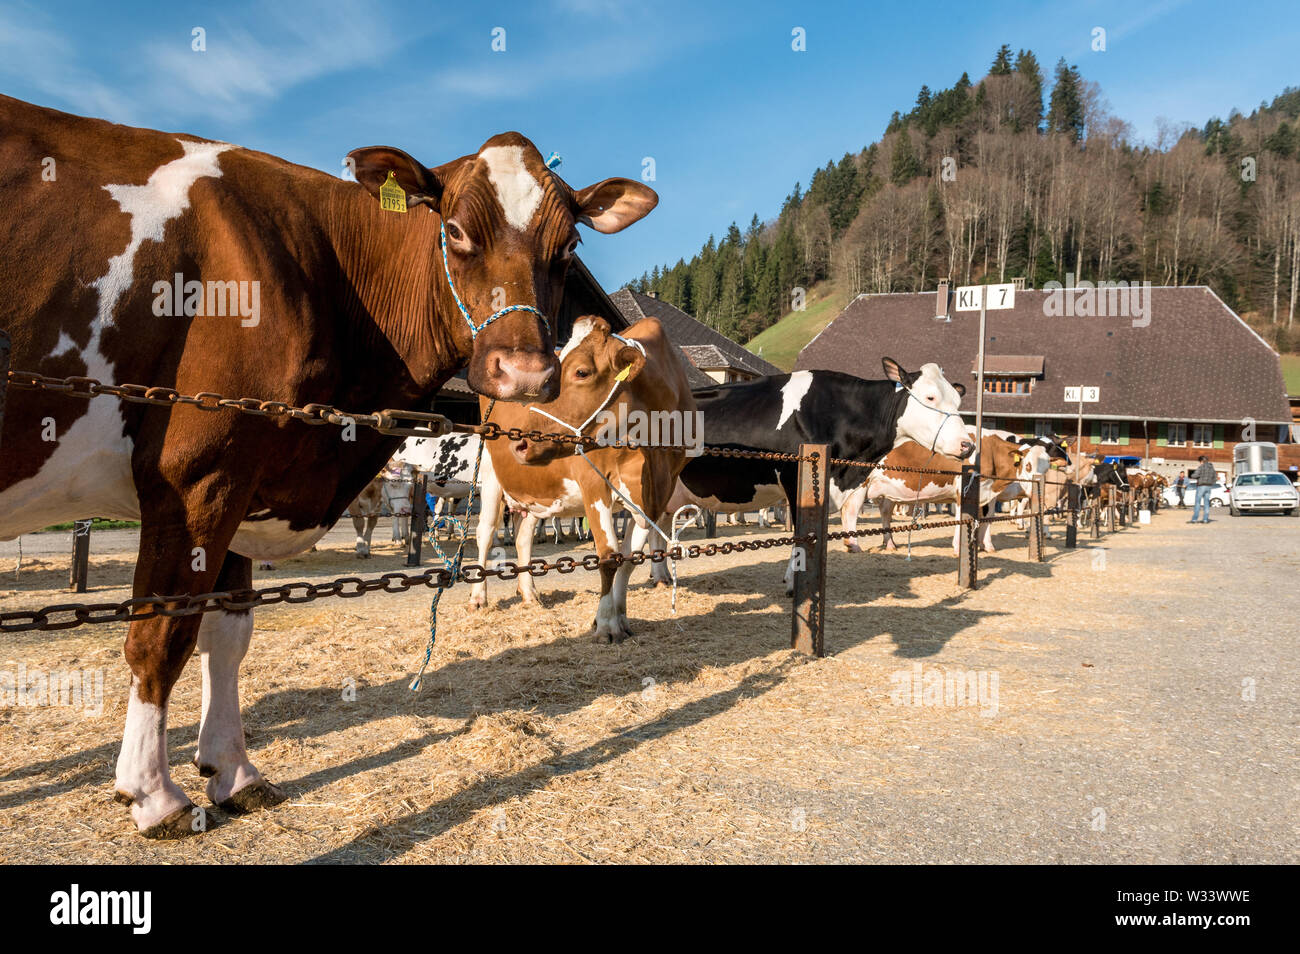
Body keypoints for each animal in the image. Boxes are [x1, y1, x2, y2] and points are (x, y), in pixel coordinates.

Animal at [0, 94, 657, 838]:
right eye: (455, 229)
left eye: (569, 245)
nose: (522, 372)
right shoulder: (197, 475)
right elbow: (161, 634)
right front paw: (153, 795)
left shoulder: (244, 482)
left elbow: (228, 633)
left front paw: (233, 773)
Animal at [465, 315, 693, 642]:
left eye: (581, 372)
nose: (520, 443)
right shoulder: (594, 484)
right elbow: (609, 556)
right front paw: (606, 624)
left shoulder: (655, 495)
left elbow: (630, 559)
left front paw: (621, 618)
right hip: (491, 477)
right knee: (485, 533)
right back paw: (478, 598)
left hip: (536, 493)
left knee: (523, 537)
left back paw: (530, 594)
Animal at [651, 360, 972, 589]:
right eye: (930, 397)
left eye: (958, 403)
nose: (967, 445)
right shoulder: (796, 482)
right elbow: (800, 535)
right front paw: (796, 584)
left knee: (655, 527)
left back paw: (661, 576)